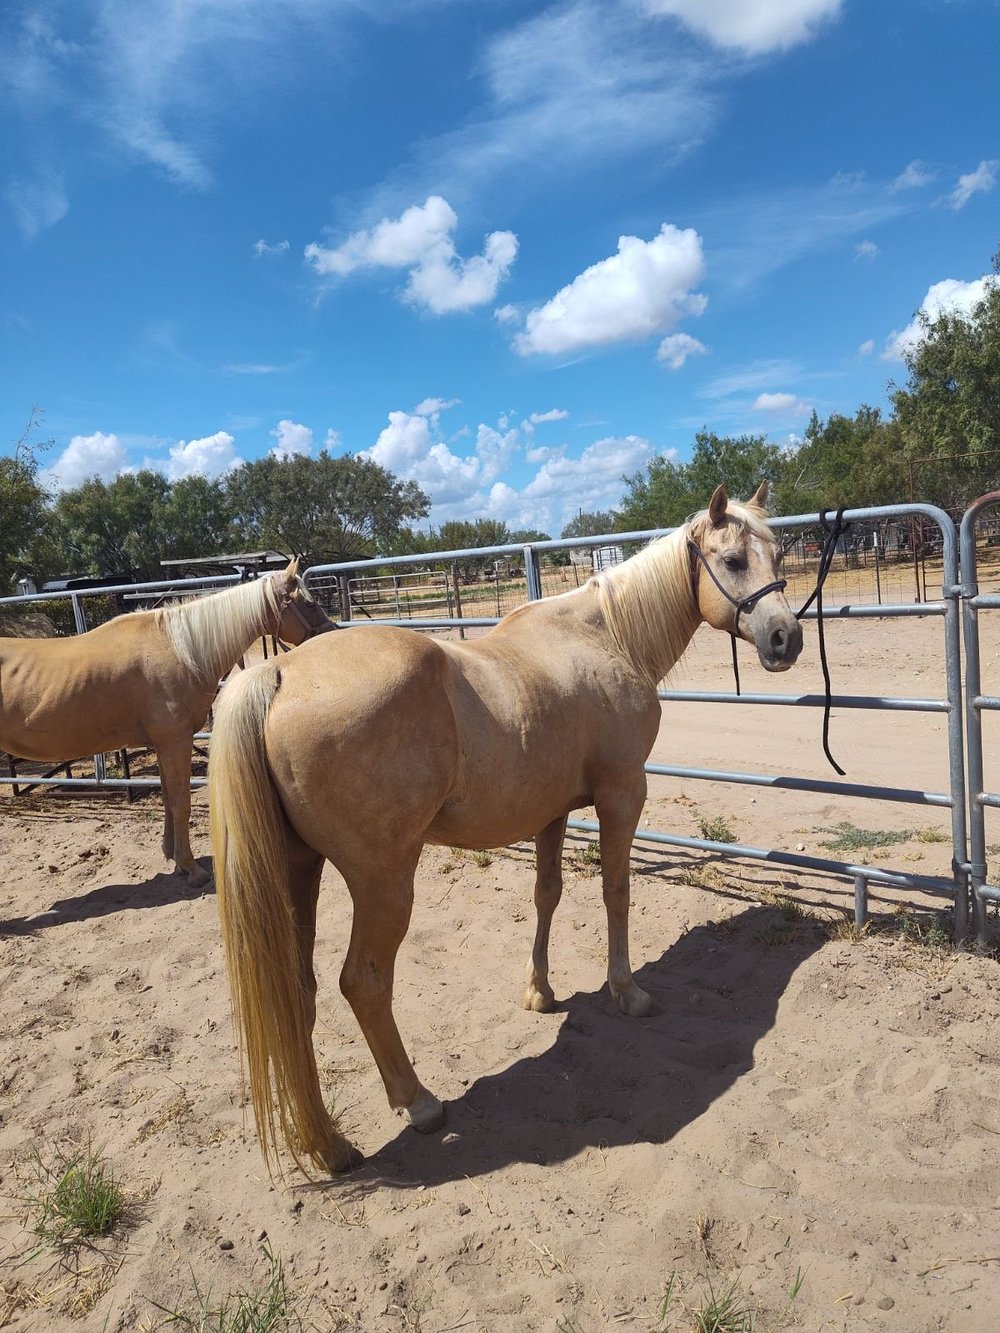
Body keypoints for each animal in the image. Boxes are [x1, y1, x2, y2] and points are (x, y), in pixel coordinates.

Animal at [0, 560, 333, 885]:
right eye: (310, 603)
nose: (329, 634)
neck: (181, 650)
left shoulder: (162, 745)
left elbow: (168, 800)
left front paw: (173, 855)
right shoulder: (176, 742)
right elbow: (181, 802)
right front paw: (191, 868)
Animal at [208, 484, 802, 1175]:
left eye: (776, 552)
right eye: (732, 560)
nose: (785, 638)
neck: (606, 637)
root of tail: (277, 676)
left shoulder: (552, 809)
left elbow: (547, 894)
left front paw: (539, 992)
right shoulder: (622, 794)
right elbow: (616, 892)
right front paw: (627, 993)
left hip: (298, 872)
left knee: (295, 992)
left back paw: (331, 1146)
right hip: (383, 881)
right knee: (363, 982)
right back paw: (419, 1104)